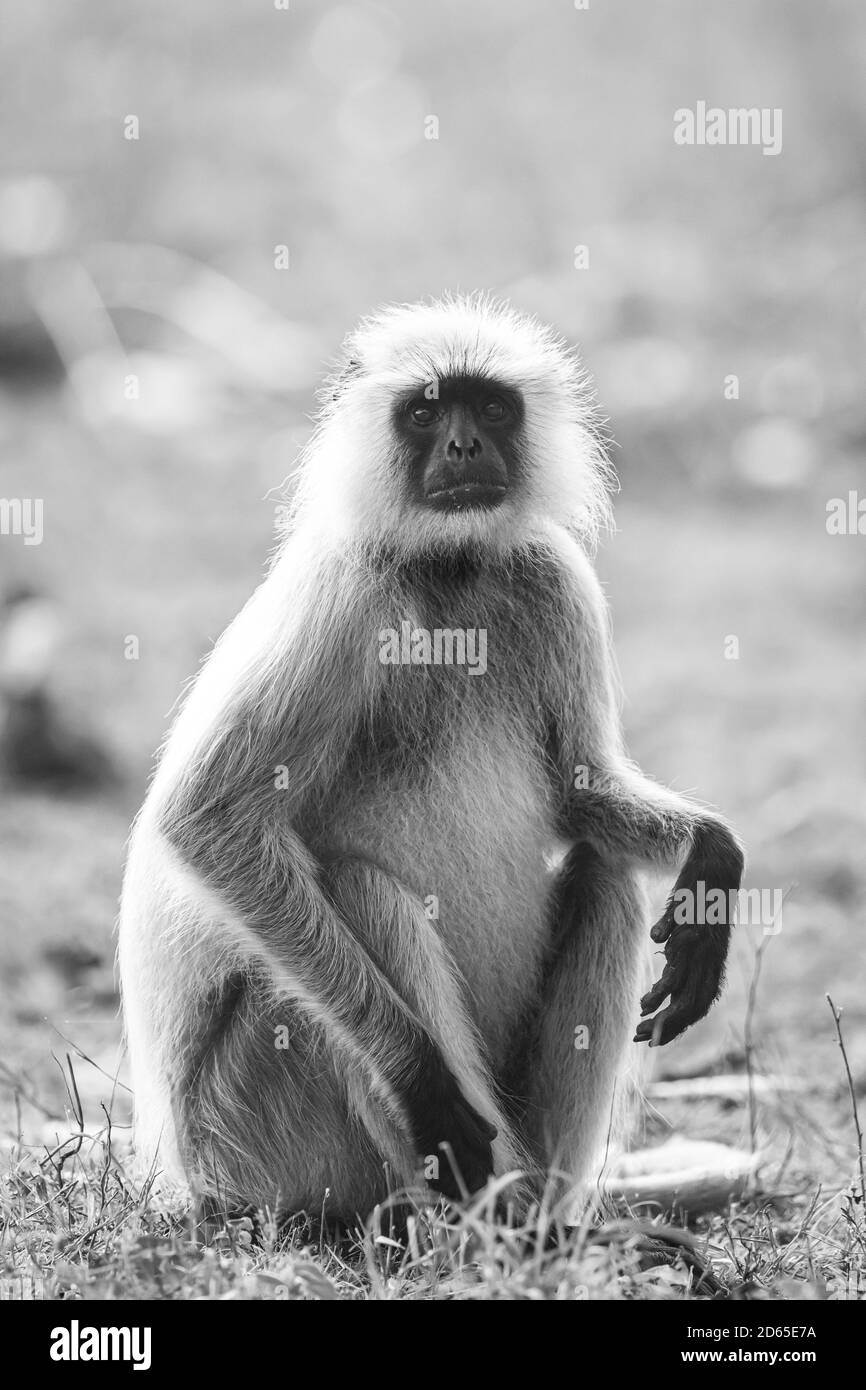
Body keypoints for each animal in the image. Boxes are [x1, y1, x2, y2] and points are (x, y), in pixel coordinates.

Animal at [118, 294, 743, 1224]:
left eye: (489, 407)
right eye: (424, 412)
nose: (462, 447)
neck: (446, 571)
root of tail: (184, 1177)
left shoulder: (550, 573)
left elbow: (578, 790)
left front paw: (712, 855)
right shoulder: (347, 592)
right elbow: (206, 820)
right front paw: (418, 1077)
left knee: (606, 874)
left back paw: (541, 1224)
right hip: (257, 1129)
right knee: (363, 892)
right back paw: (476, 1222)